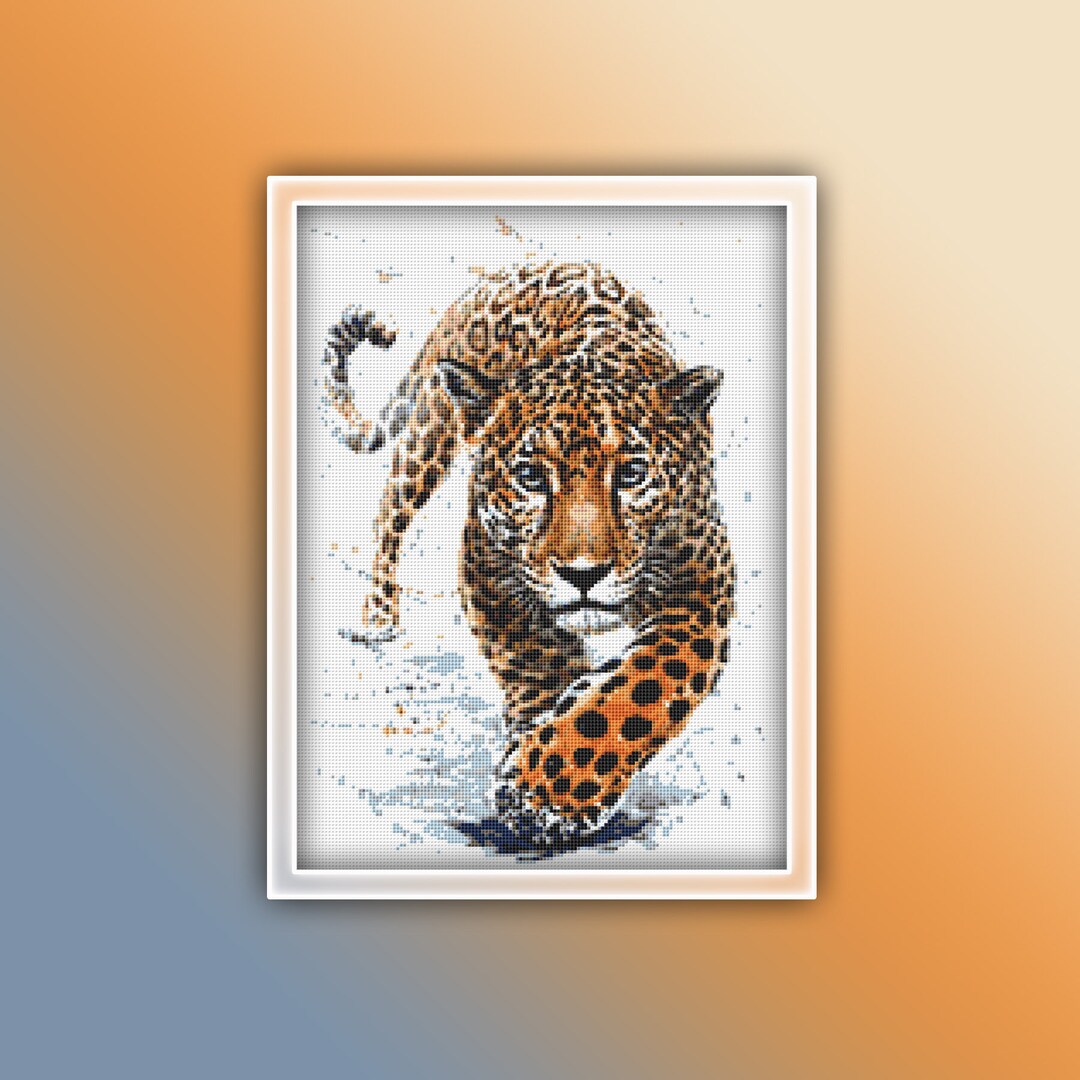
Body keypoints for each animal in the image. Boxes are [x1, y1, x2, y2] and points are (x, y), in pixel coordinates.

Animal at [323, 260, 734, 851]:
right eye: (530, 477)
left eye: (632, 473)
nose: (583, 574)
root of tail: (505, 271)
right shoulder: (488, 570)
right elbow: (539, 667)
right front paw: (542, 783)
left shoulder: (700, 593)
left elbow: (639, 690)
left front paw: (548, 790)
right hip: (429, 436)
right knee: (388, 514)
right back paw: (377, 617)